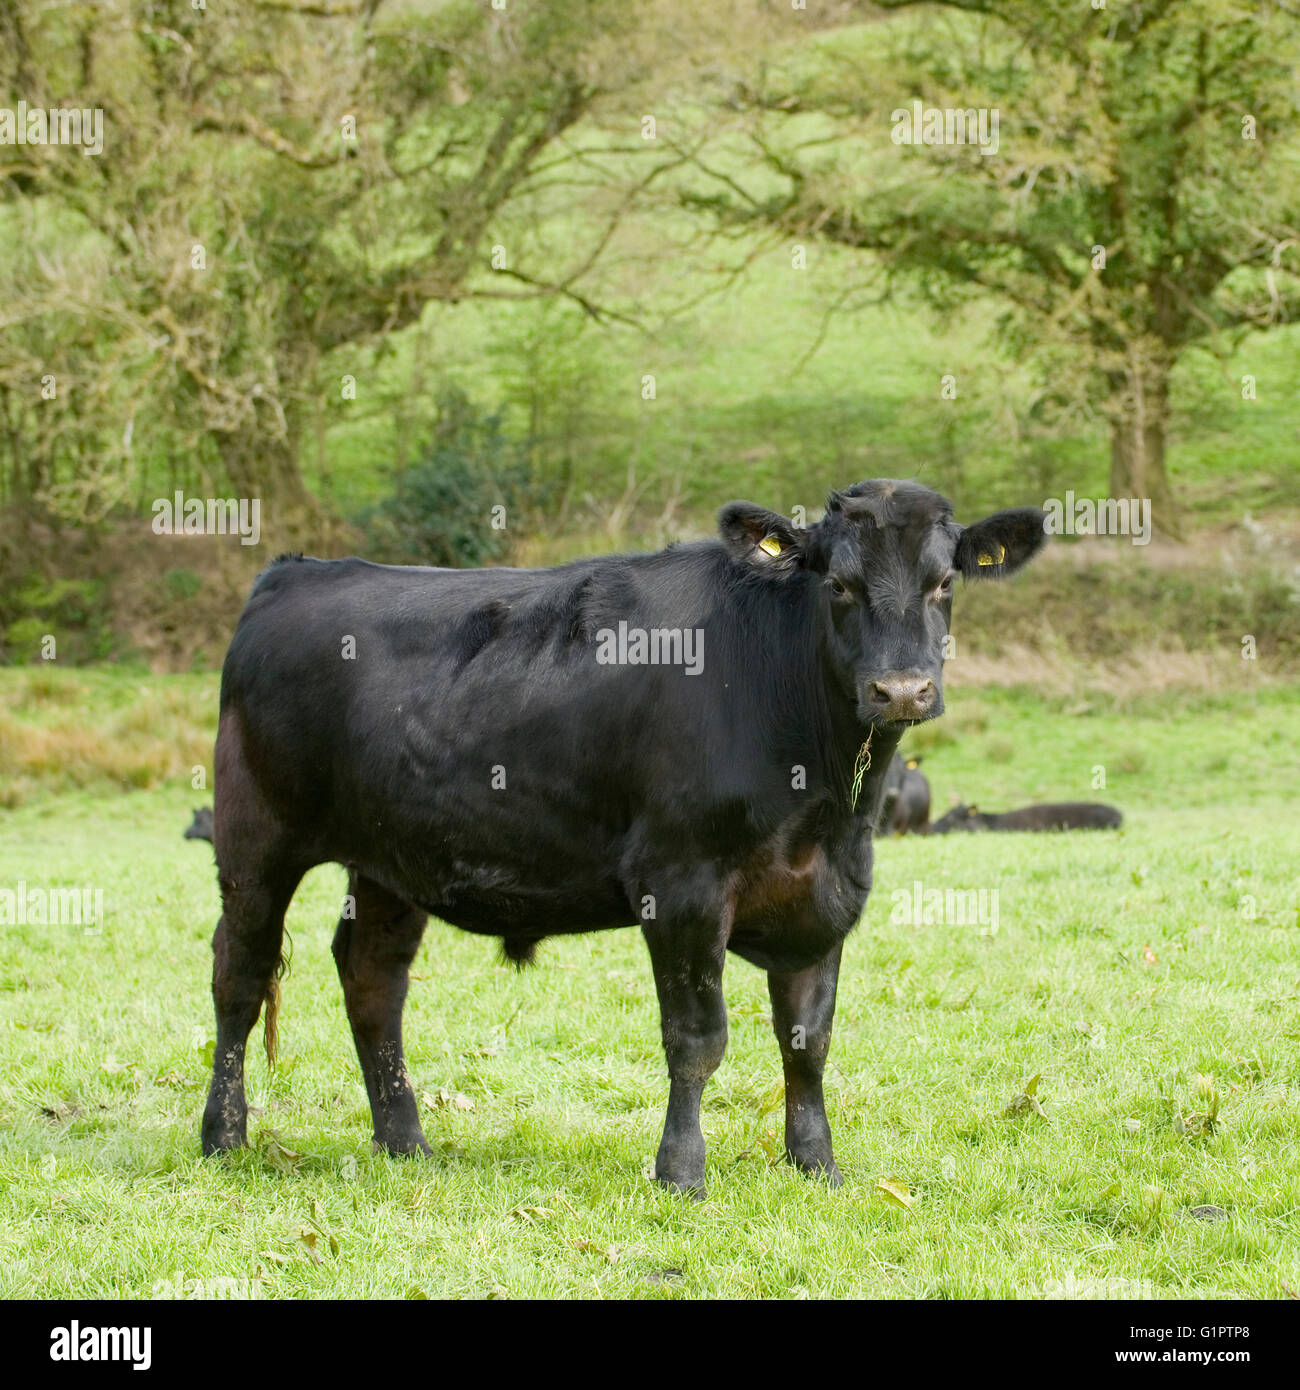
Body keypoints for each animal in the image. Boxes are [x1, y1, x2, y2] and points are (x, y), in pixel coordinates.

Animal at [201, 479, 1046, 1195]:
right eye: (837, 584)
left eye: (944, 583)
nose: (901, 689)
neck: (823, 799)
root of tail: (294, 572)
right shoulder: (681, 884)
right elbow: (697, 1038)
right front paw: (681, 1171)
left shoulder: (825, 892)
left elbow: (808, 1039)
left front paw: (816, 1166)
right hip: (255, 835)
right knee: (240, 973)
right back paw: (224, 1137)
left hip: (389, 859)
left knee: (373, 980)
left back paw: (404, 1140)